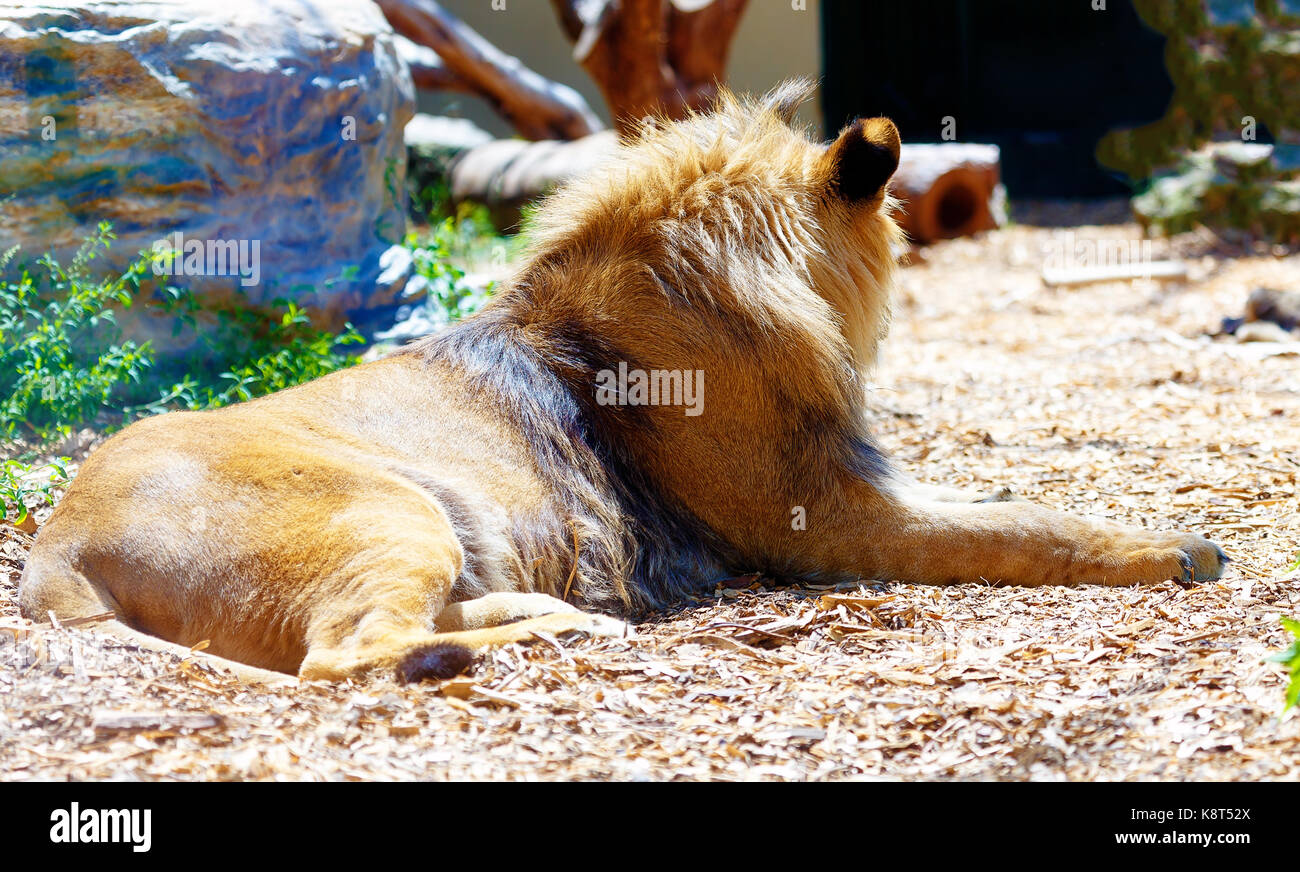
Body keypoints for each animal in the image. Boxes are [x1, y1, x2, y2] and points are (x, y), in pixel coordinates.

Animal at [19, 81, 1227, 684]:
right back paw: (533, 644)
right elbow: (1021, 522)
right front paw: (1178, 547)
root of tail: (52, 550)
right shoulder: (829, 516)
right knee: (346, 657)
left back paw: (560, 616)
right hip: (378, 503)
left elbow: (1011, 504)